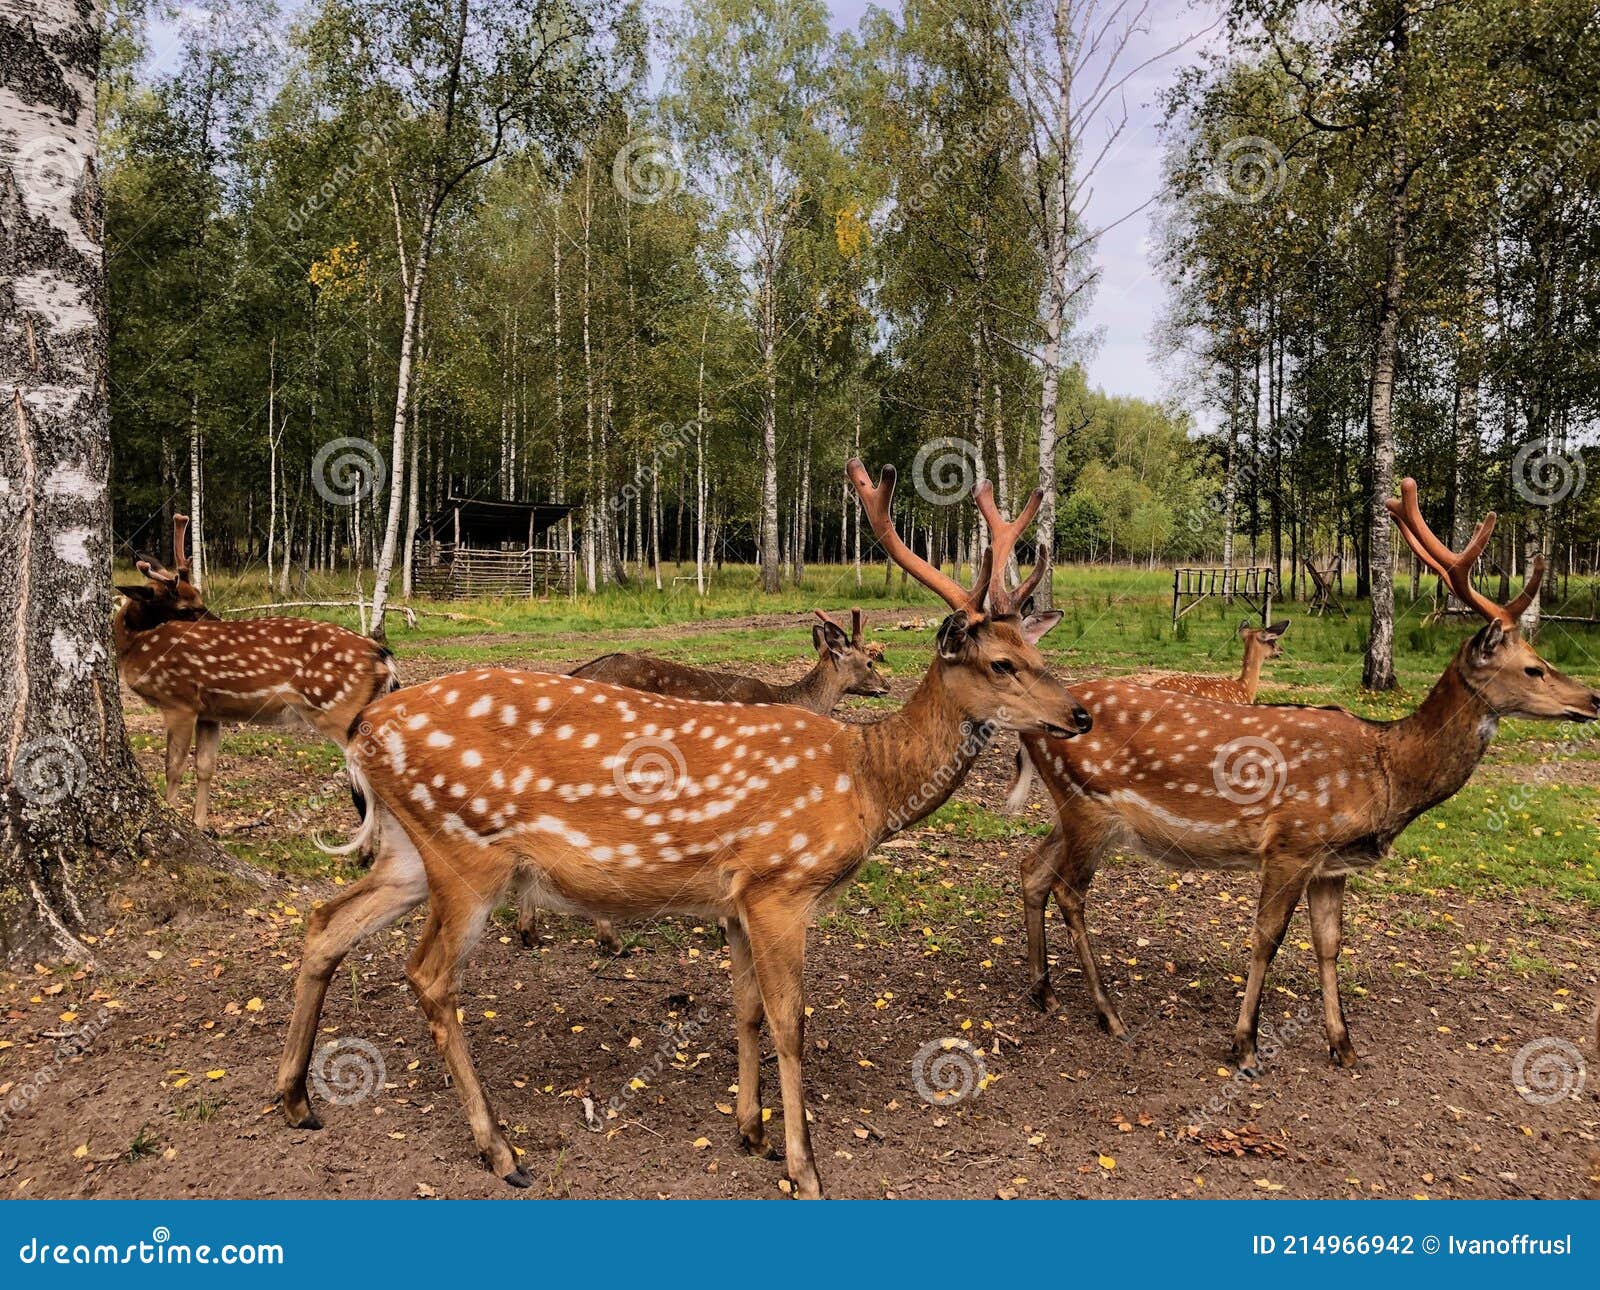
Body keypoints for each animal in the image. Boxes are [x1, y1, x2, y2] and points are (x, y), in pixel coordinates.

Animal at [115, 514, 399, 830]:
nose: (219, 624)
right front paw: (200, 825)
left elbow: (173, 767)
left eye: (198, 601)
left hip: (340, 707)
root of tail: (382, 655)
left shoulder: (180, 701)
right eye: (186, 608)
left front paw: (173, 815)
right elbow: (205, 766)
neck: (132, 647)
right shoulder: (209, 712)